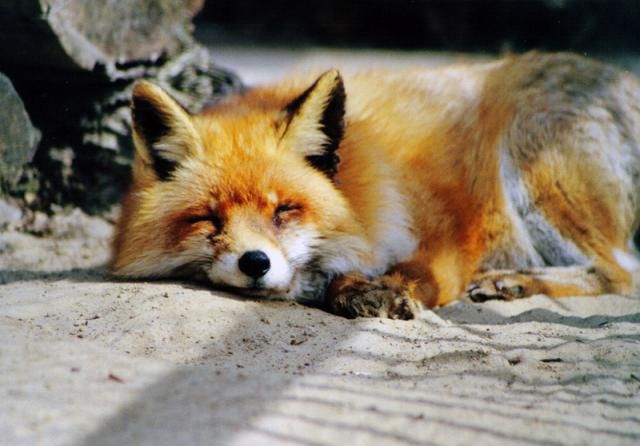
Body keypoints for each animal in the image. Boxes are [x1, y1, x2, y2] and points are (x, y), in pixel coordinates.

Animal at [110, 52, 640, 319]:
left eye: (285, 210)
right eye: (208, 219)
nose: (255, 262)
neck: (362, 186)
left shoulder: (444, 239)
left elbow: (405, 274)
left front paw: (372, 289)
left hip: (535, 168)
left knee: (619, 272)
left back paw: (512, 281)